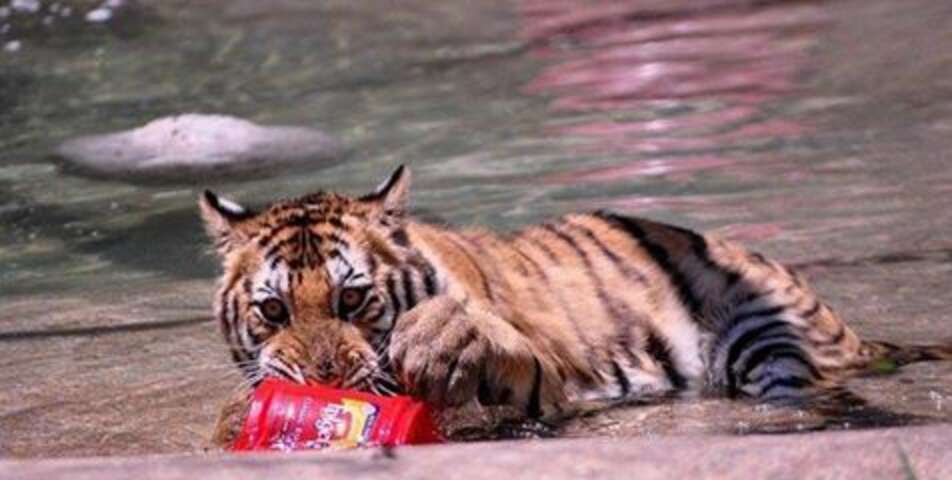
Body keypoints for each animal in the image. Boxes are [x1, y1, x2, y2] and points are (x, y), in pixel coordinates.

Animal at [201, 165, 951, 443]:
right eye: (273, 312)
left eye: (354, 298)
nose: (323, 378)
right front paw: (244, 416)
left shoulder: (548, 377)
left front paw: (441, 342)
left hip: (765, 338)